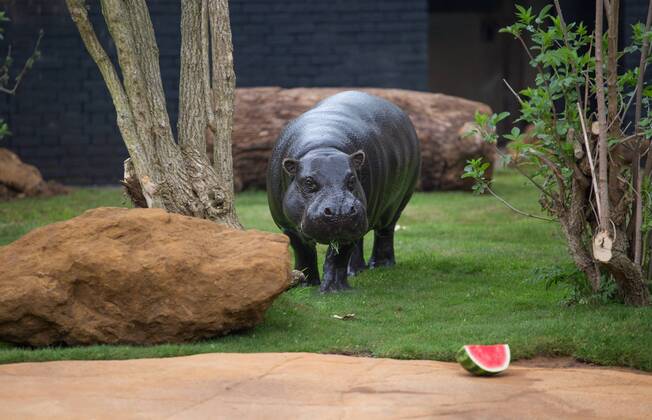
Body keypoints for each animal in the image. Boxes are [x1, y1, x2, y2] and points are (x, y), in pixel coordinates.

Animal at [267, 91, 421, 292]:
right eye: (308, 182)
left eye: (352, 179)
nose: (340, 210)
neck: (322, 147)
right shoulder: (287, 224)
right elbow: (303, 251)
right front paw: (305, 283)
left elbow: (337, 257)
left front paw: (333, 290)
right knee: (361, 239)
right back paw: (355, 271)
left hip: (394, 205)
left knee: (385, 232)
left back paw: (380, 265)